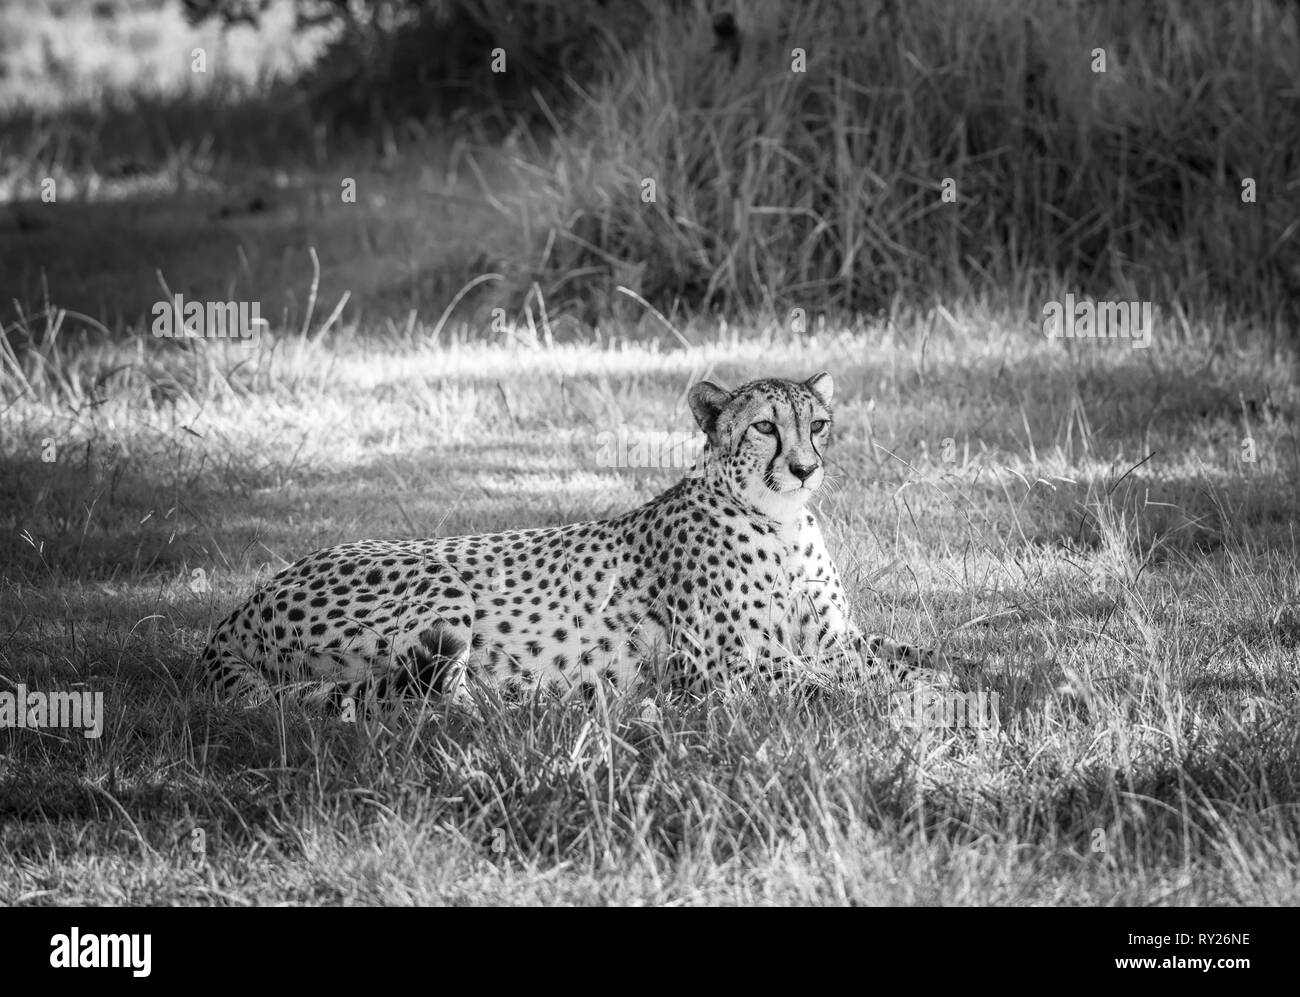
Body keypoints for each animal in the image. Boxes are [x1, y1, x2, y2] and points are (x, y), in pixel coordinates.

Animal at [200, 372, 970, 706]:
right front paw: (923, 695)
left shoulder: (832, 635)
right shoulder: (723, 664)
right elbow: (840, 679)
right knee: (423, 699)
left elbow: (912, 652)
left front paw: (971, 674)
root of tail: (237, 611)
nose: (807, 468)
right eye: (764, 427)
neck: (780, 522)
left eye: (818, 425)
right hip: (443, 594)